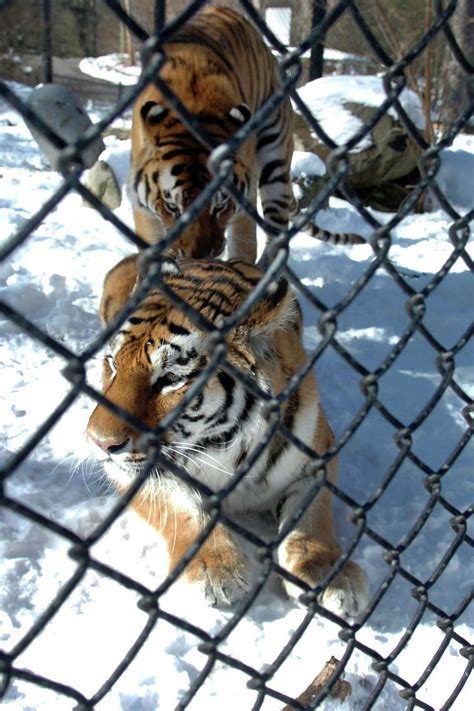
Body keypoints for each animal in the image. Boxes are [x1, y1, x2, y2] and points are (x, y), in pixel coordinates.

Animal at [87, 254, 368, 615]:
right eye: (112, 363)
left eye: (171, 378)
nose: (99, 442)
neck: (225, 448)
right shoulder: (131, 473)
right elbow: (184, 511)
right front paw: (216, 571)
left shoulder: (319, 454)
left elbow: (311, 518)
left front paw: (328, 575)